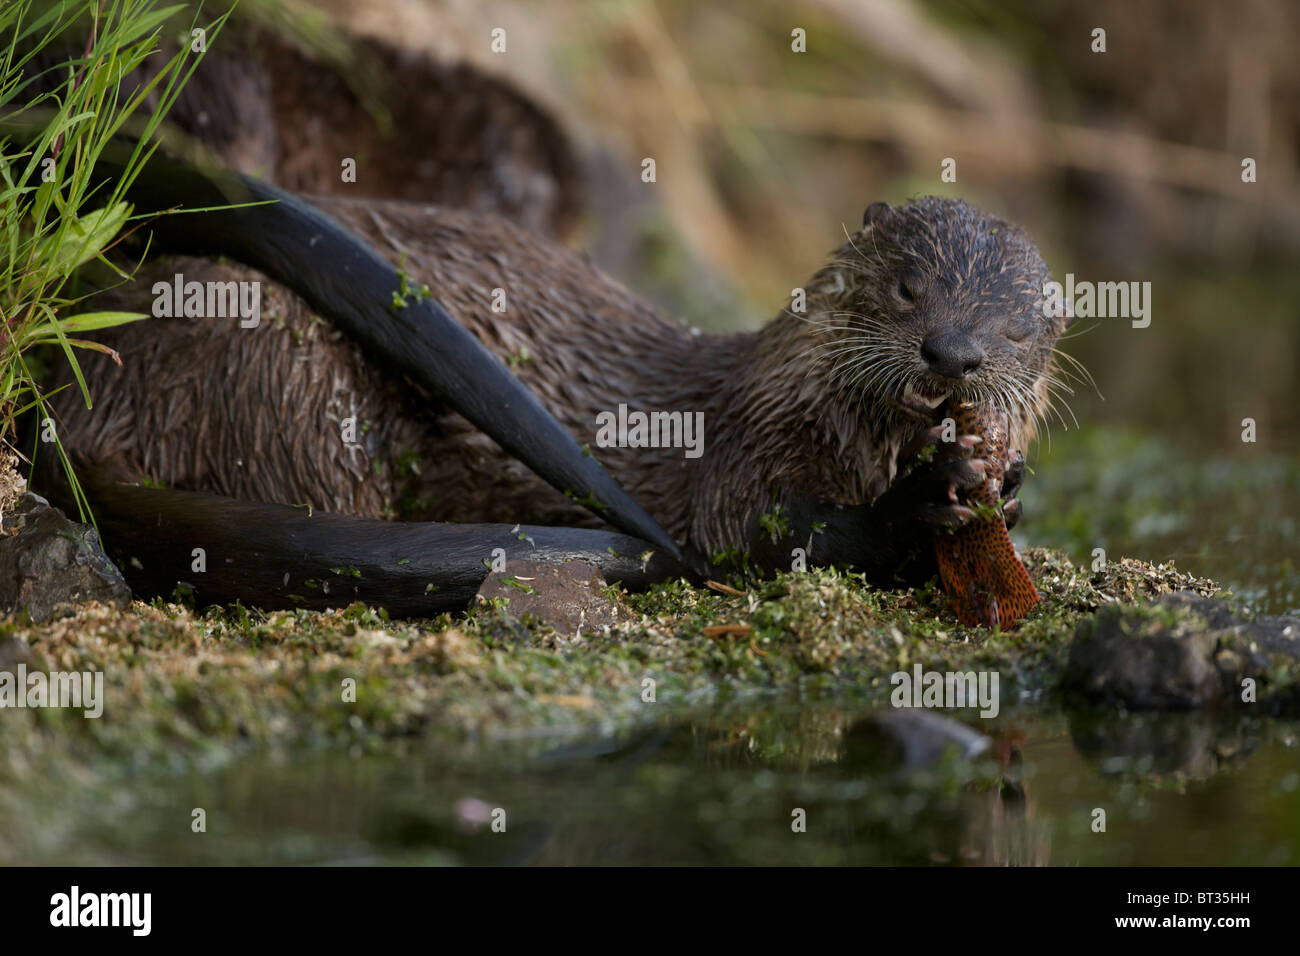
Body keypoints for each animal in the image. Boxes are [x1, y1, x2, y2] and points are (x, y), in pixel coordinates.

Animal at [26, 139, 1068, 616]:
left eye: (1015, 330)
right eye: (907, 287)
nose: (953, 353)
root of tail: (86, 395)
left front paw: (1003, 487)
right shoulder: (748, 452)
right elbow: (761, 533)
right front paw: (923, 501)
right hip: (281, 367)